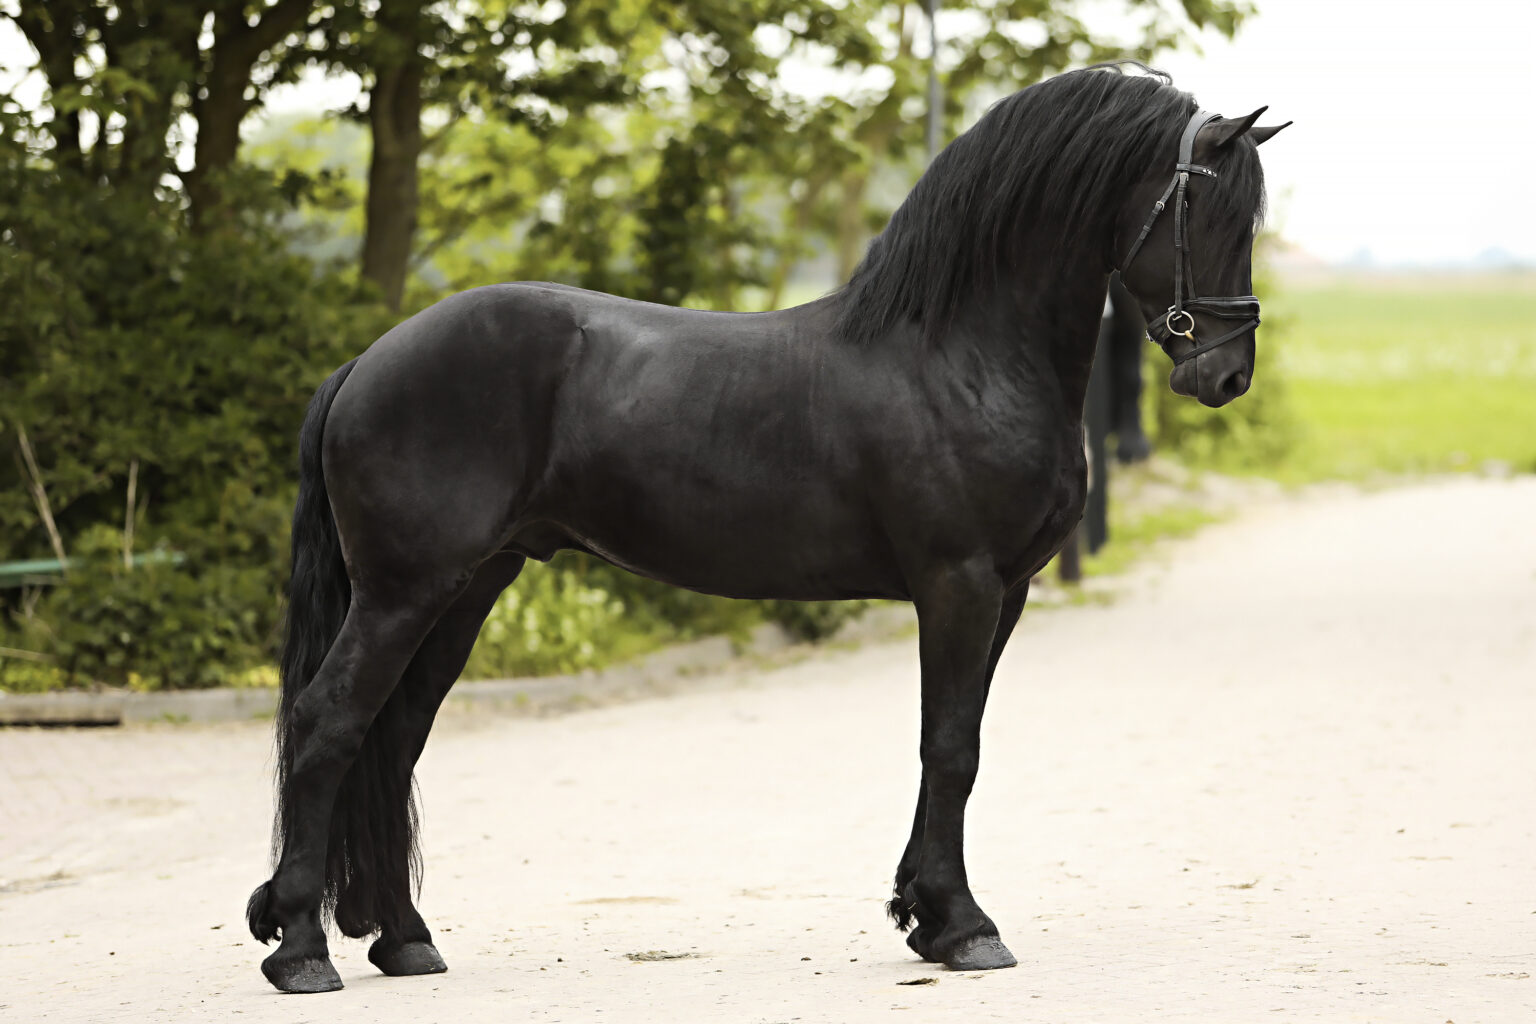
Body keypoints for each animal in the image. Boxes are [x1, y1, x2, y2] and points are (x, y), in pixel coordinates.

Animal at [246, 63, 1287, 993]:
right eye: (1211, 216)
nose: (1227, 374)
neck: (959, 354)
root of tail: (368, 361)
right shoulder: (958, 584)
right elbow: (950, 747)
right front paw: (964, 928)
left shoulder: (1009, 590)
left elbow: (956, 744)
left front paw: (924, 915)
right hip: (405, 591)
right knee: (330, 721)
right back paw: (300, 949)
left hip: (468, 588)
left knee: (395, 739)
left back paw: (403, 939)